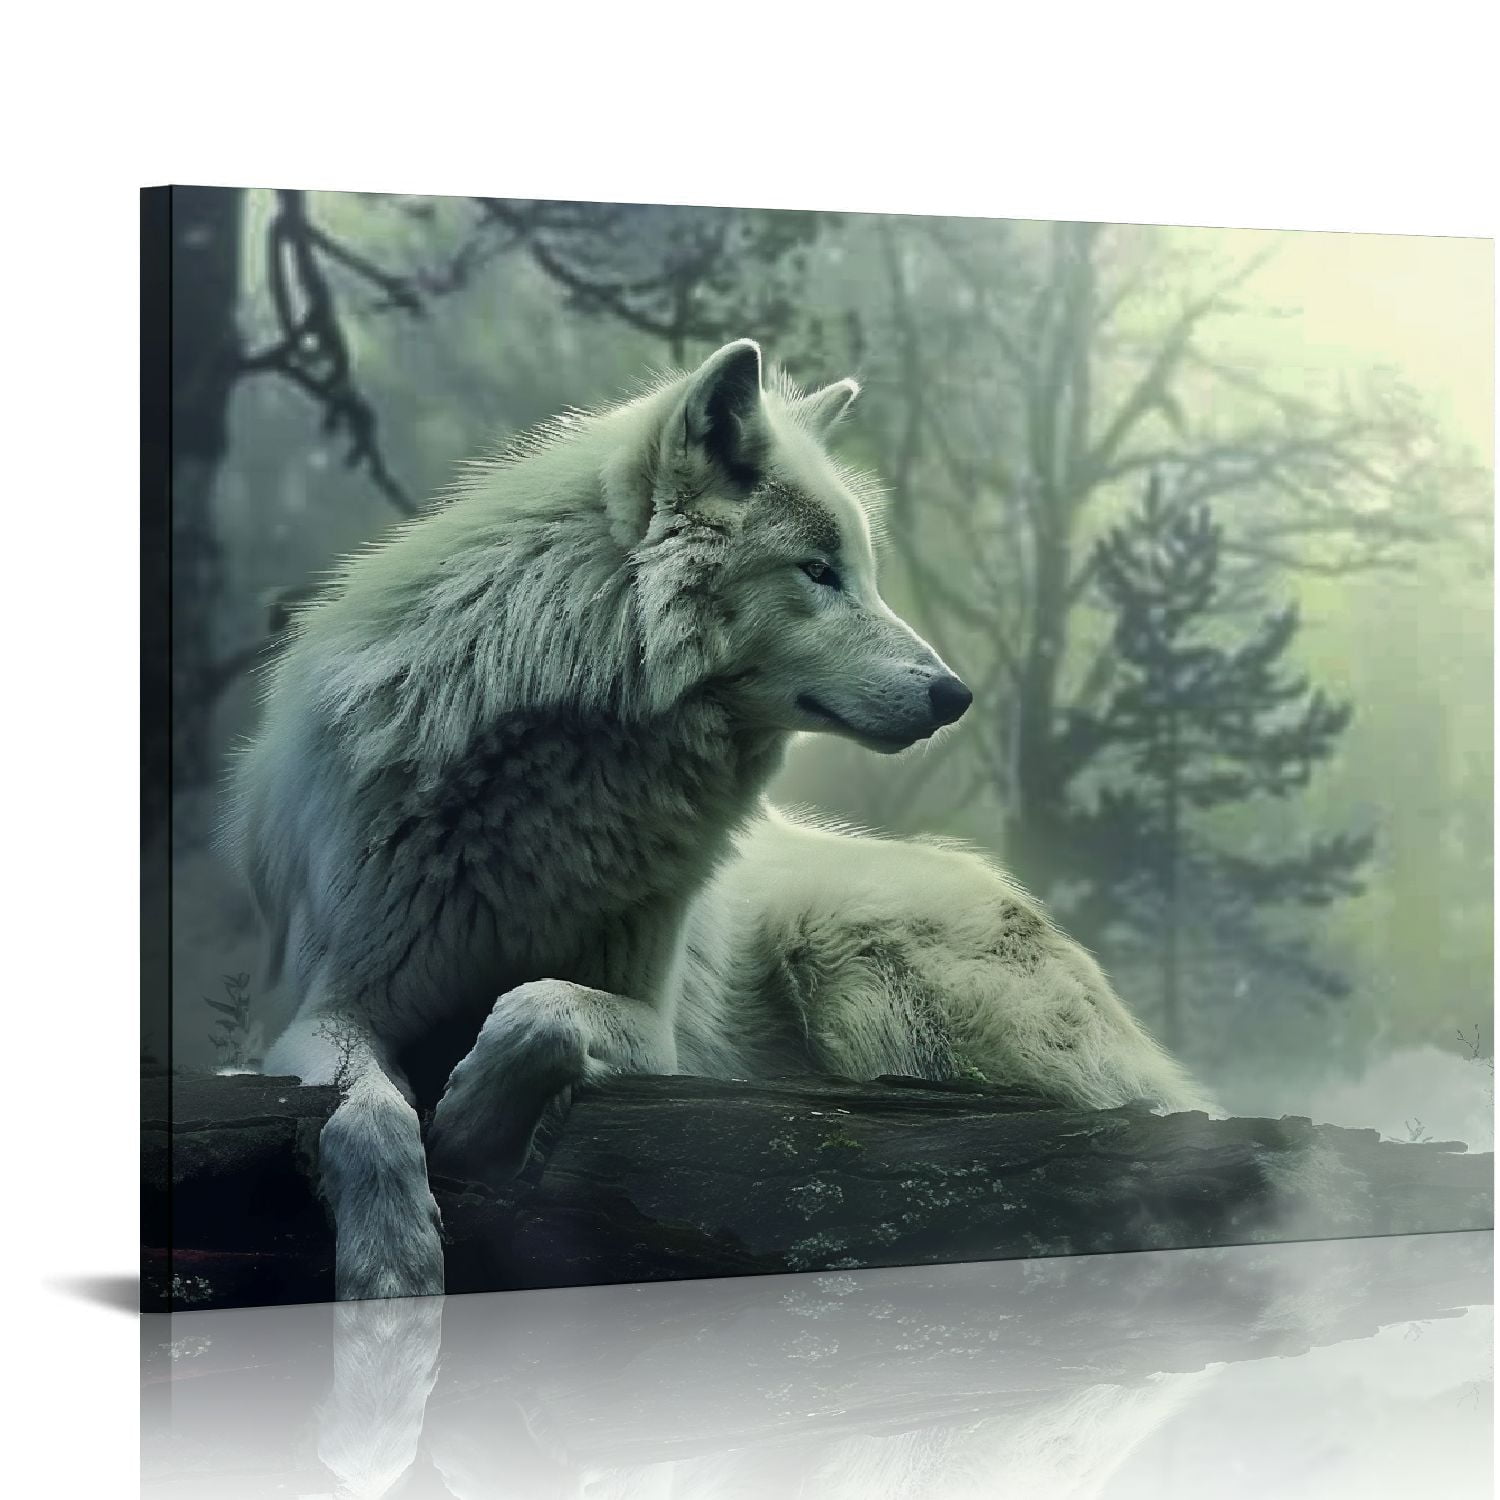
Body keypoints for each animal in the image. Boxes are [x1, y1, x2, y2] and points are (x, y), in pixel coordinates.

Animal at [228, 339, 1209, 1301]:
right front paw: (391, 1260)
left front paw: (476, 1118)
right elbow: (363, 1114)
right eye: (819, 571)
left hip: (846, 960)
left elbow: (538, 1010)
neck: (558, 791)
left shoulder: (657, 1031)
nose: (954, 695)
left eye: (862, 572)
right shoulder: (325, 1008)